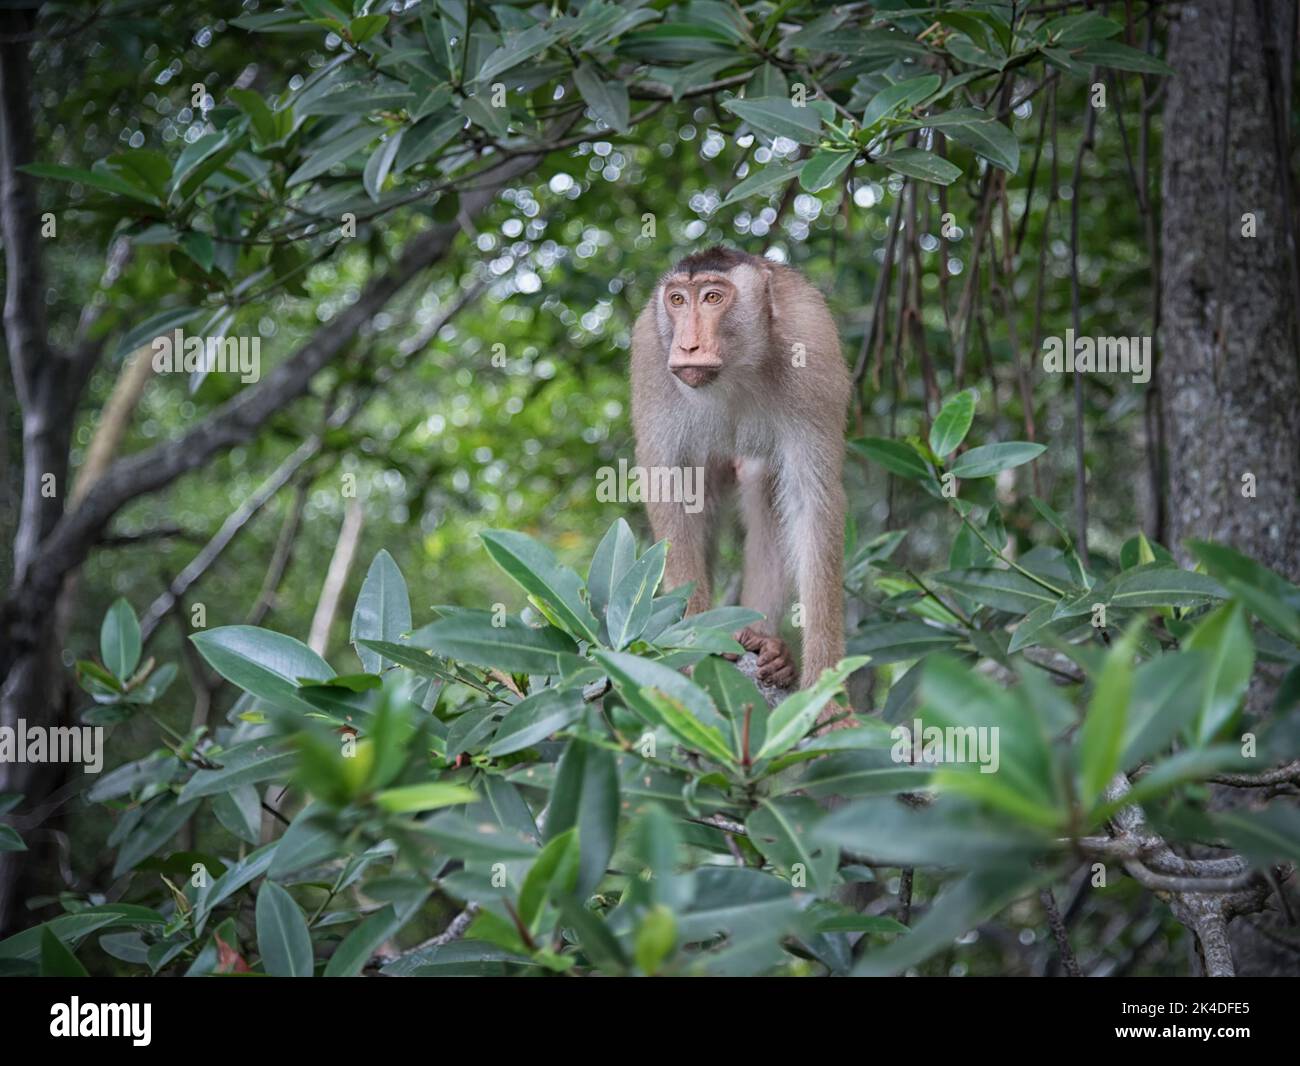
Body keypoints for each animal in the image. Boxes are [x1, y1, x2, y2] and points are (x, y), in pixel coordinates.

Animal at [630, 246, 851, 703]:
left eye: (713, 297)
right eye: (677, 300)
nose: (687, 344)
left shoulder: (812, 345)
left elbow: (812, 502)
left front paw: (828, 694)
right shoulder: (650, 354)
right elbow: (668, 484)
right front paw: (694, 636)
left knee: (768, 485)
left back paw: (764, 642)